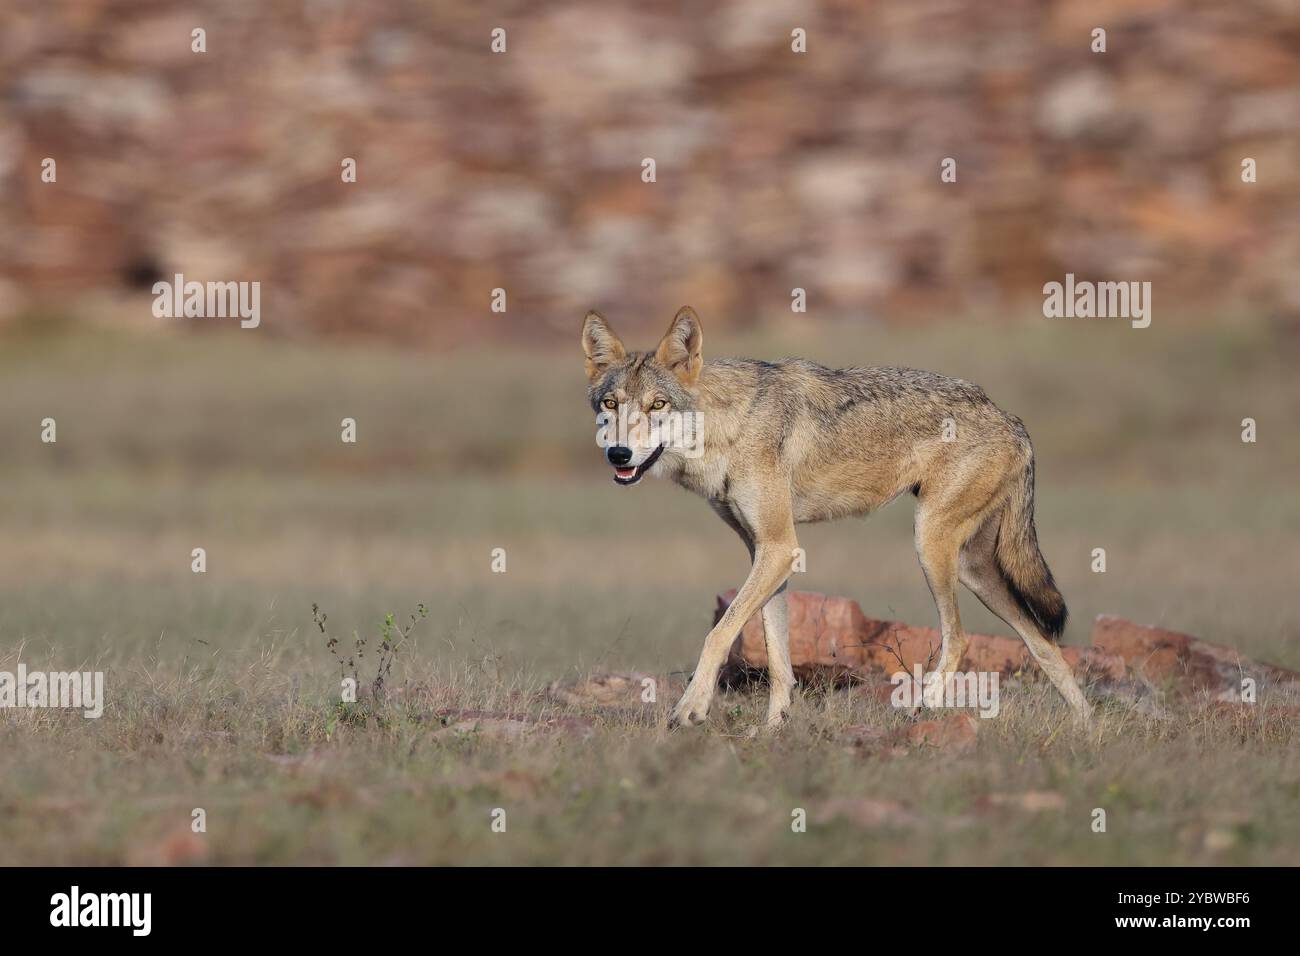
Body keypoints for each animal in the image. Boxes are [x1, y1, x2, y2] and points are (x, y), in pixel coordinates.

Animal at [582, 306, 1092, 730]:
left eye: (657, 405)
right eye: (611, 405)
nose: (619, 454)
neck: (729, 424)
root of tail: (1010, 418)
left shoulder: (780, 548)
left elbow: (718, 634)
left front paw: (690, 709)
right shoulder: (767, 551)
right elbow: (778, 658)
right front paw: (772, 730)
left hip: (931, 546)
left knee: (961, 639)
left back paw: (920, 710)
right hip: (973, 568)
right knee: (1043, 642)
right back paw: (1087, 730)